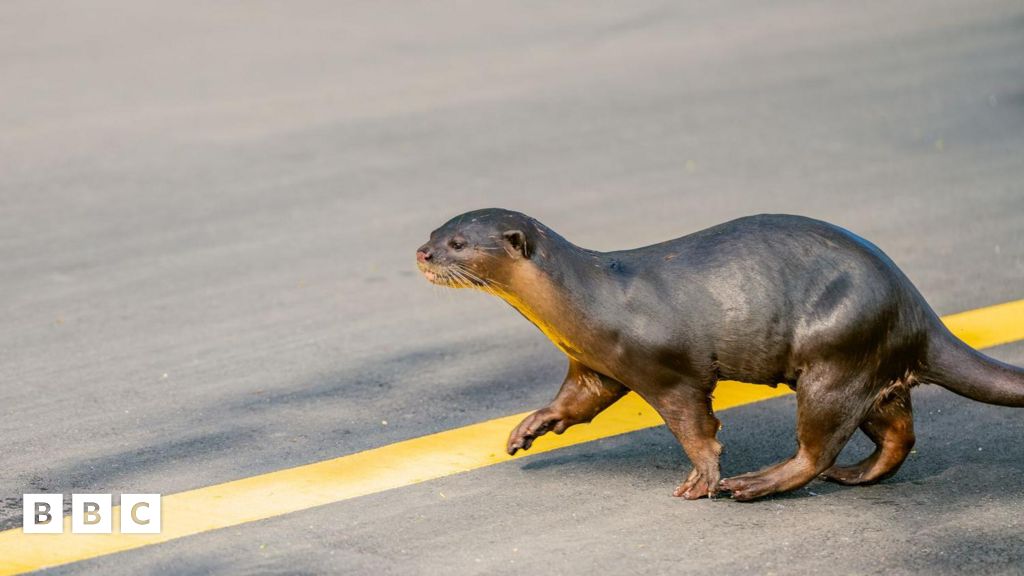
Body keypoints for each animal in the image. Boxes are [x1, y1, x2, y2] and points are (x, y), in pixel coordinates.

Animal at [415, 209, 1024, 501]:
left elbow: (696, 427)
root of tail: (913, 306)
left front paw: (703, 478)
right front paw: (529, 428)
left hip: (835, 355)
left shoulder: (666, 373)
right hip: (869, 363)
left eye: (458, 245)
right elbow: (574, 402)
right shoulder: (597, 367)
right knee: (897, 432)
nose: (422, 252)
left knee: (817, 447)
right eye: (435, 230)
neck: (589, 296)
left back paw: (754, 485)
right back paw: (855, 476)